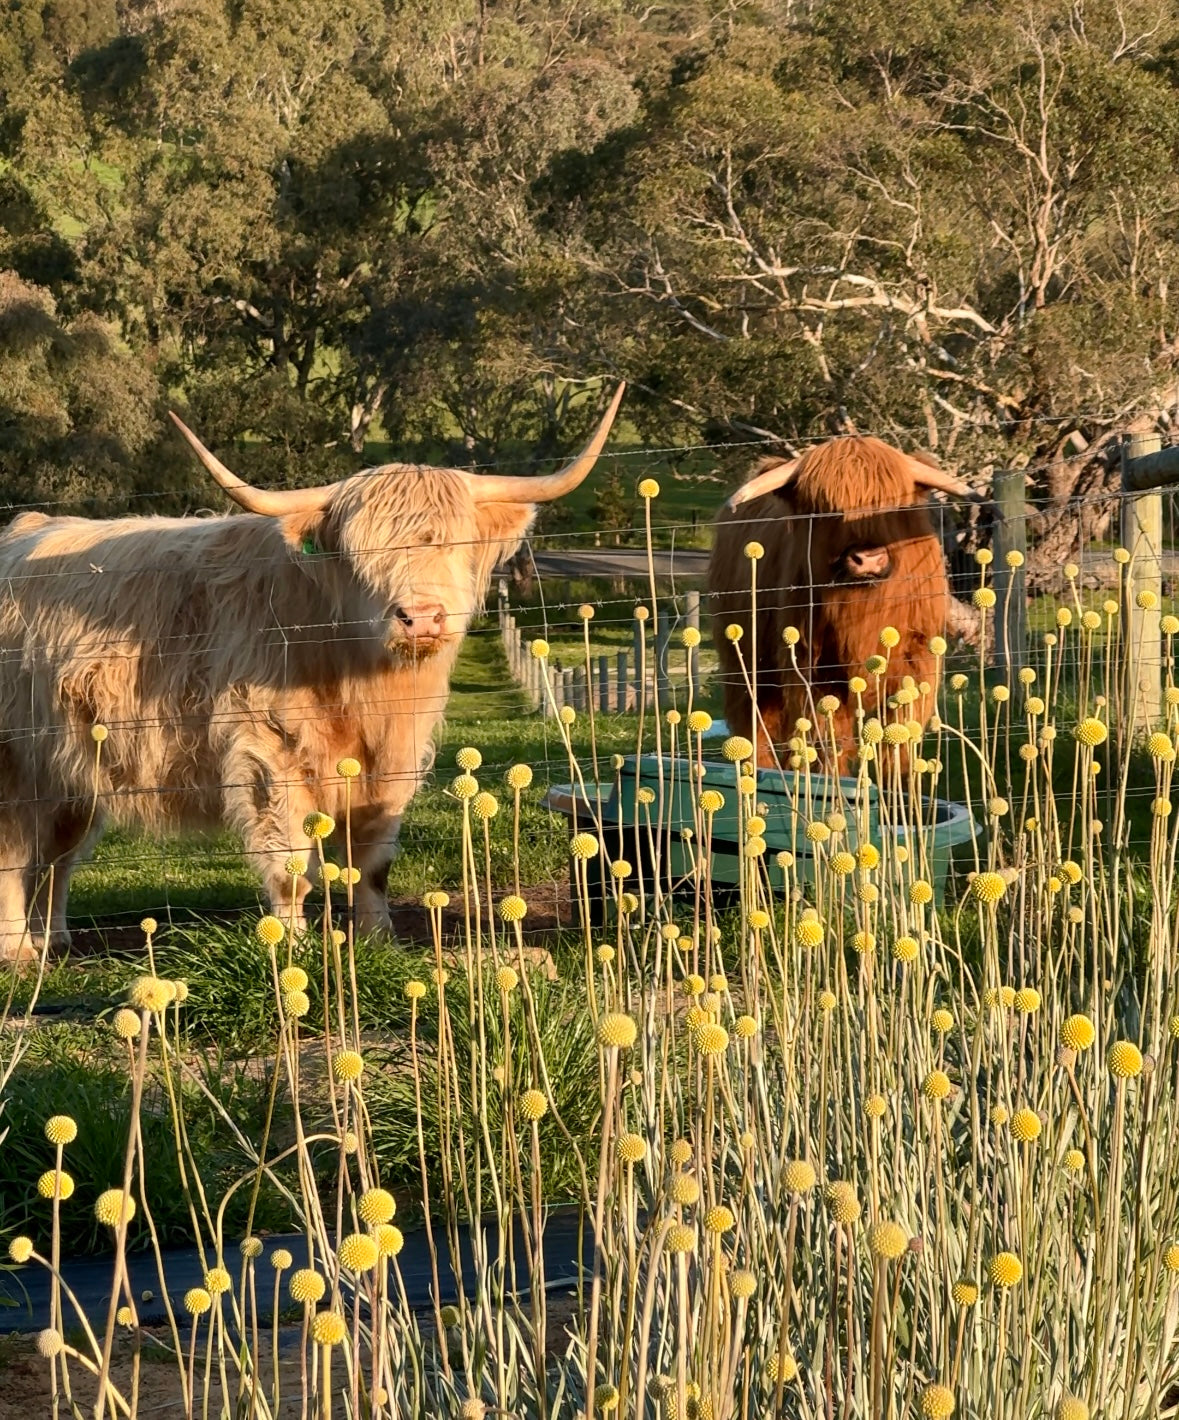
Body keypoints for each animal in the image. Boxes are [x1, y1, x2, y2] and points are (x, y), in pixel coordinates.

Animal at [0, 385, 624, 959]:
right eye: (360, 553)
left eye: (456, 543)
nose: (421, 617)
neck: (361, 682)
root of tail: (26, 528)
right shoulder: (269, 753)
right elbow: (291, 865)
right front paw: (293, 947)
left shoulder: (392, 761)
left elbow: (371, 862)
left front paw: (378, 939)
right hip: (14, 765)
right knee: (15, 855)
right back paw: (20, 954)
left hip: (68, 771)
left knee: (57, 856)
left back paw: (56, 942)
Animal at [709, 435, 972, 773]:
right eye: (827, 509)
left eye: (894, 504)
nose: (867, 559)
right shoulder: (813, 670)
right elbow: (829, 739)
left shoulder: (917, 662)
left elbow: (900, 739)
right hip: (745, 664)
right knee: (756, 726)